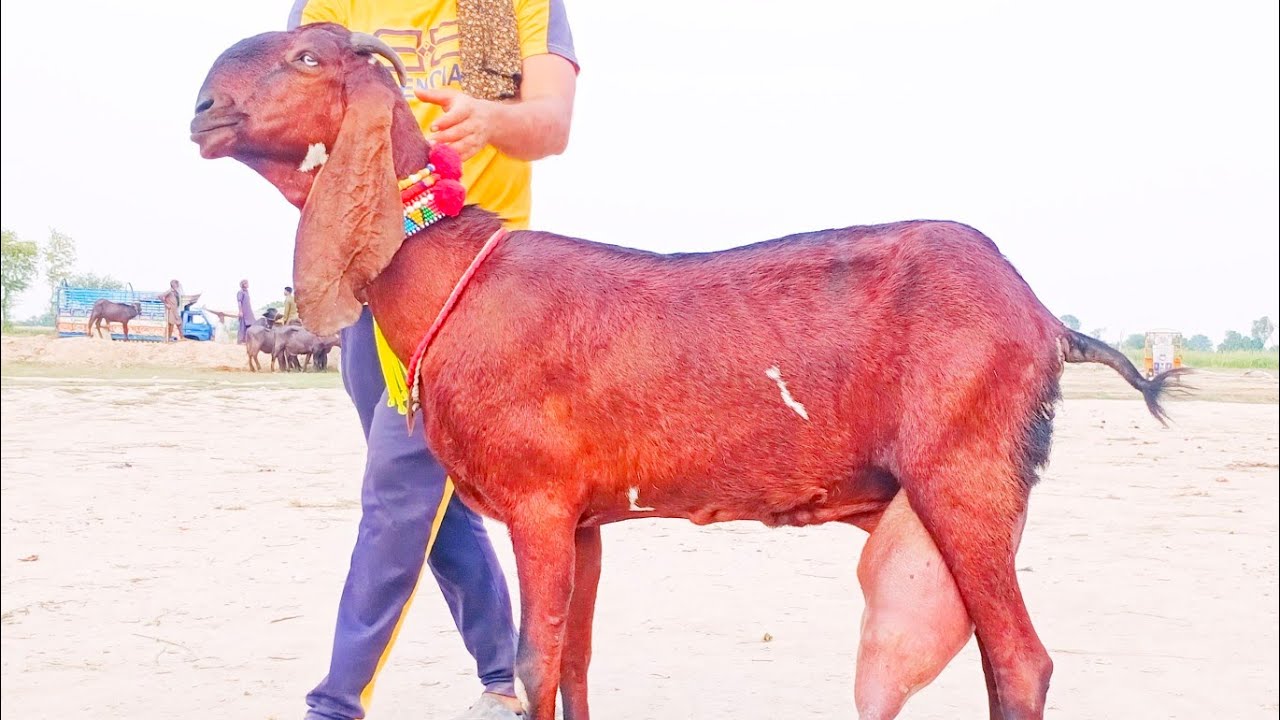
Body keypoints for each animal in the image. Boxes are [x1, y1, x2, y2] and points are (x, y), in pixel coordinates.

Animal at [192, 25, 1188, 720]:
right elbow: (574, 660)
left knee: (1019, 659)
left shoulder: (539, 501)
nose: (202, 108)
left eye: (307, 56)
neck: (450, 267)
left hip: (966, 474)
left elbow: (536, 663)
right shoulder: (585, 516)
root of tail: (1044, 317)